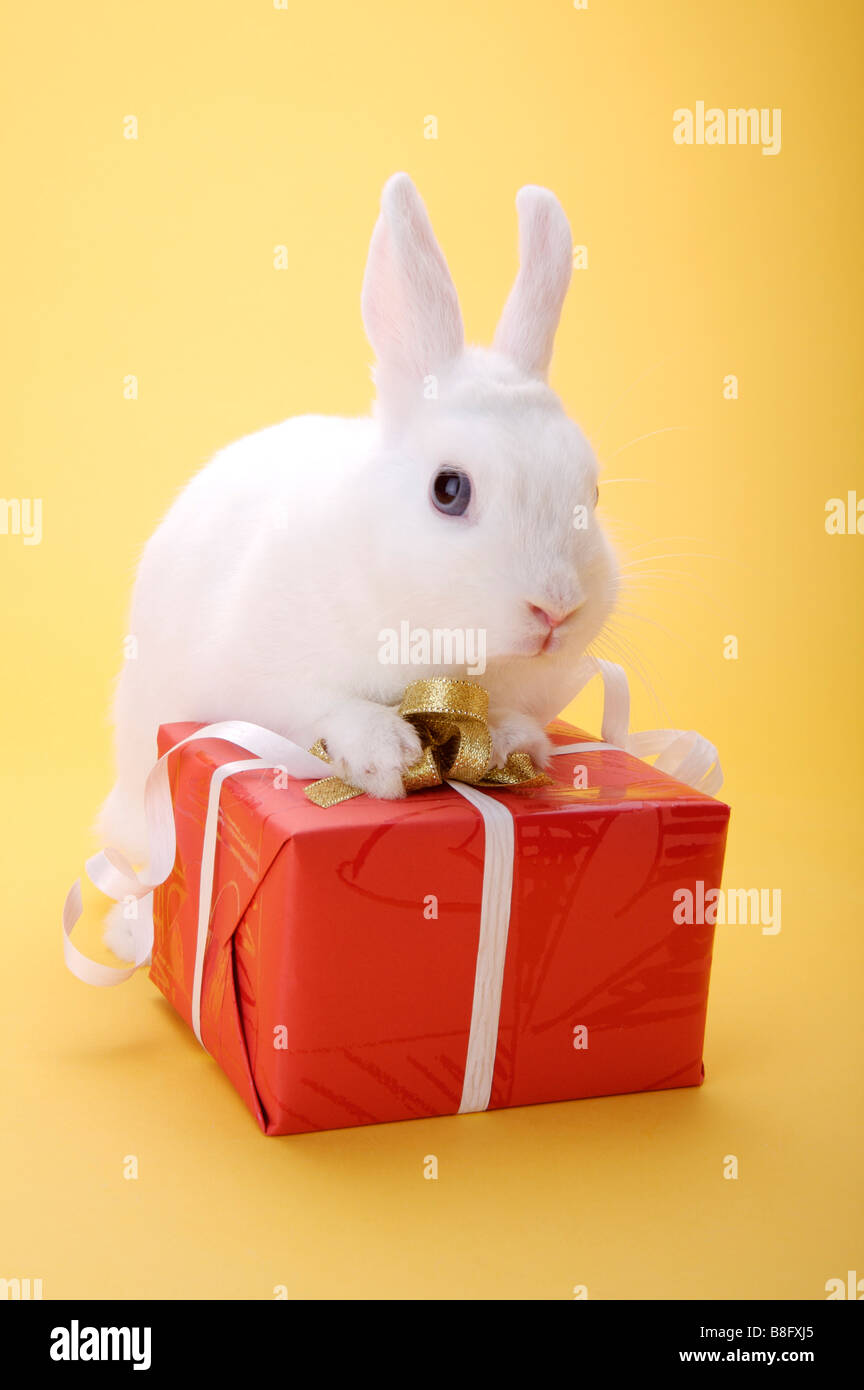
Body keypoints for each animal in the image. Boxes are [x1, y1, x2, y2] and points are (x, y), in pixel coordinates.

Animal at [100, 172, 619, 959]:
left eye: (592, 491)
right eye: (449, 489)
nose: (556, 609)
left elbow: (517, 720)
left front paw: (508, 745)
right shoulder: (261, 681)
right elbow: (323, 704)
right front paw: (383, 755)